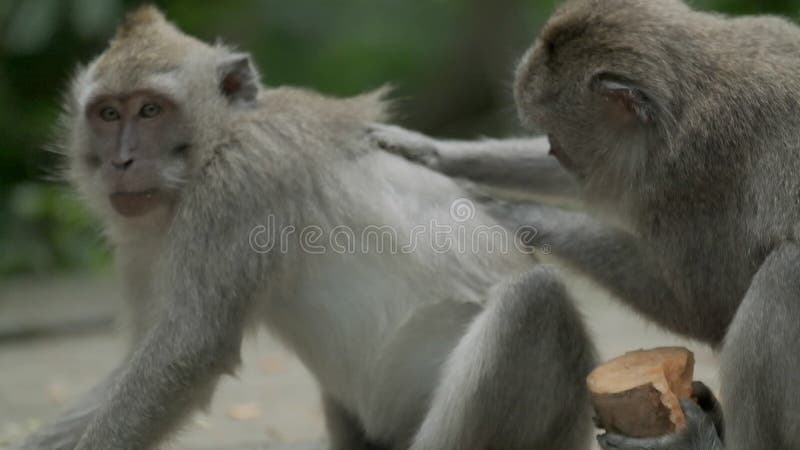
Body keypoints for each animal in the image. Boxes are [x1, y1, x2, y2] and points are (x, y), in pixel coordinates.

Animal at [15, 6, 599, 450]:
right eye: (109, 114)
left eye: (151, 110)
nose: (122, 162)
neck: (215, 145)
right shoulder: (139, 233)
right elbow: (141, 355)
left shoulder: (240, 181)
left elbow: (186, 349)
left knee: (535, 300)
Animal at [370, 0, 800, 448]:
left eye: (555, 132)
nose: (553, 150)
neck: (688, 98)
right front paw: (433, 152)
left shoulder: (695, 174)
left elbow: (705, 308)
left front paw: (509, 211)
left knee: (786, 270)